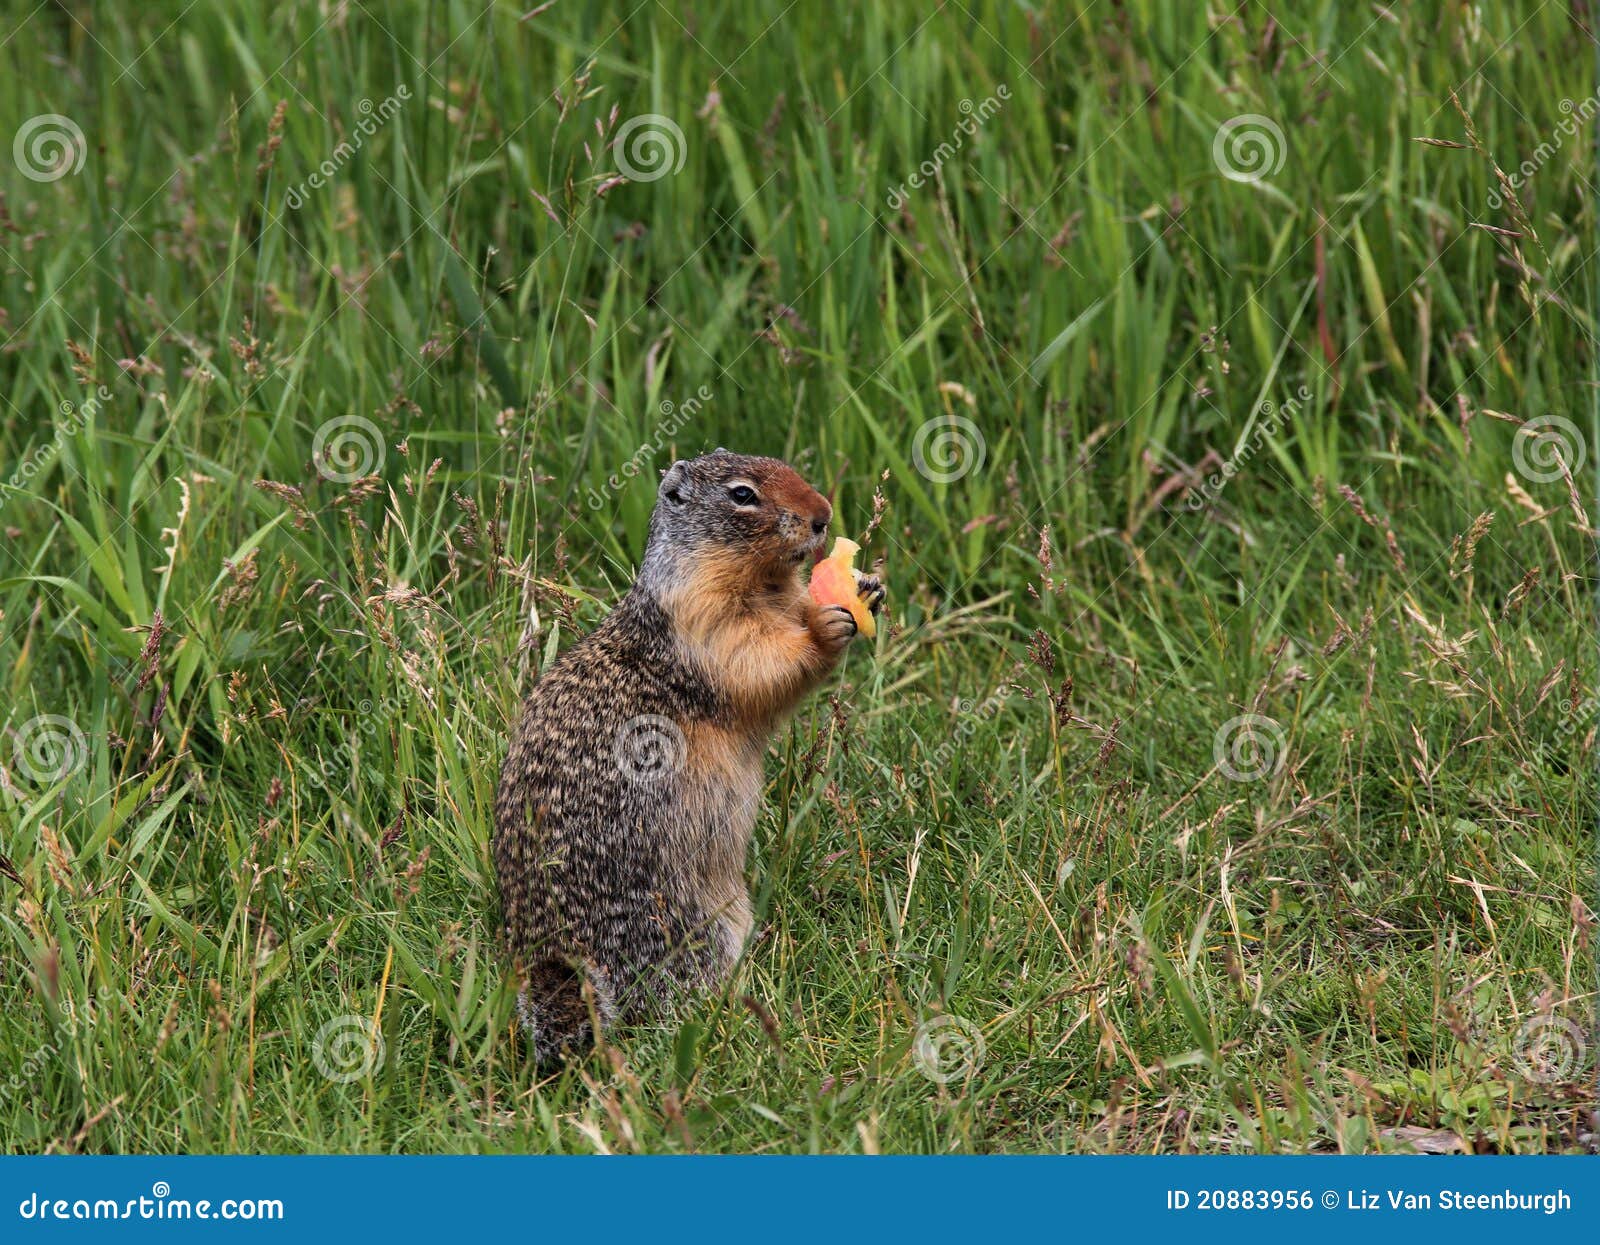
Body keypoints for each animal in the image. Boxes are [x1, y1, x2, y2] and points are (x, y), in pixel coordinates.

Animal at [493, 449, 884, 1063]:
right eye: (742, 494)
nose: (823, 515)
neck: (766, 584)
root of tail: (549, 947)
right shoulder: (704, 622)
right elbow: (759, 660)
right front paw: (827, 626)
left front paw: (865, 584)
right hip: (685, 927)